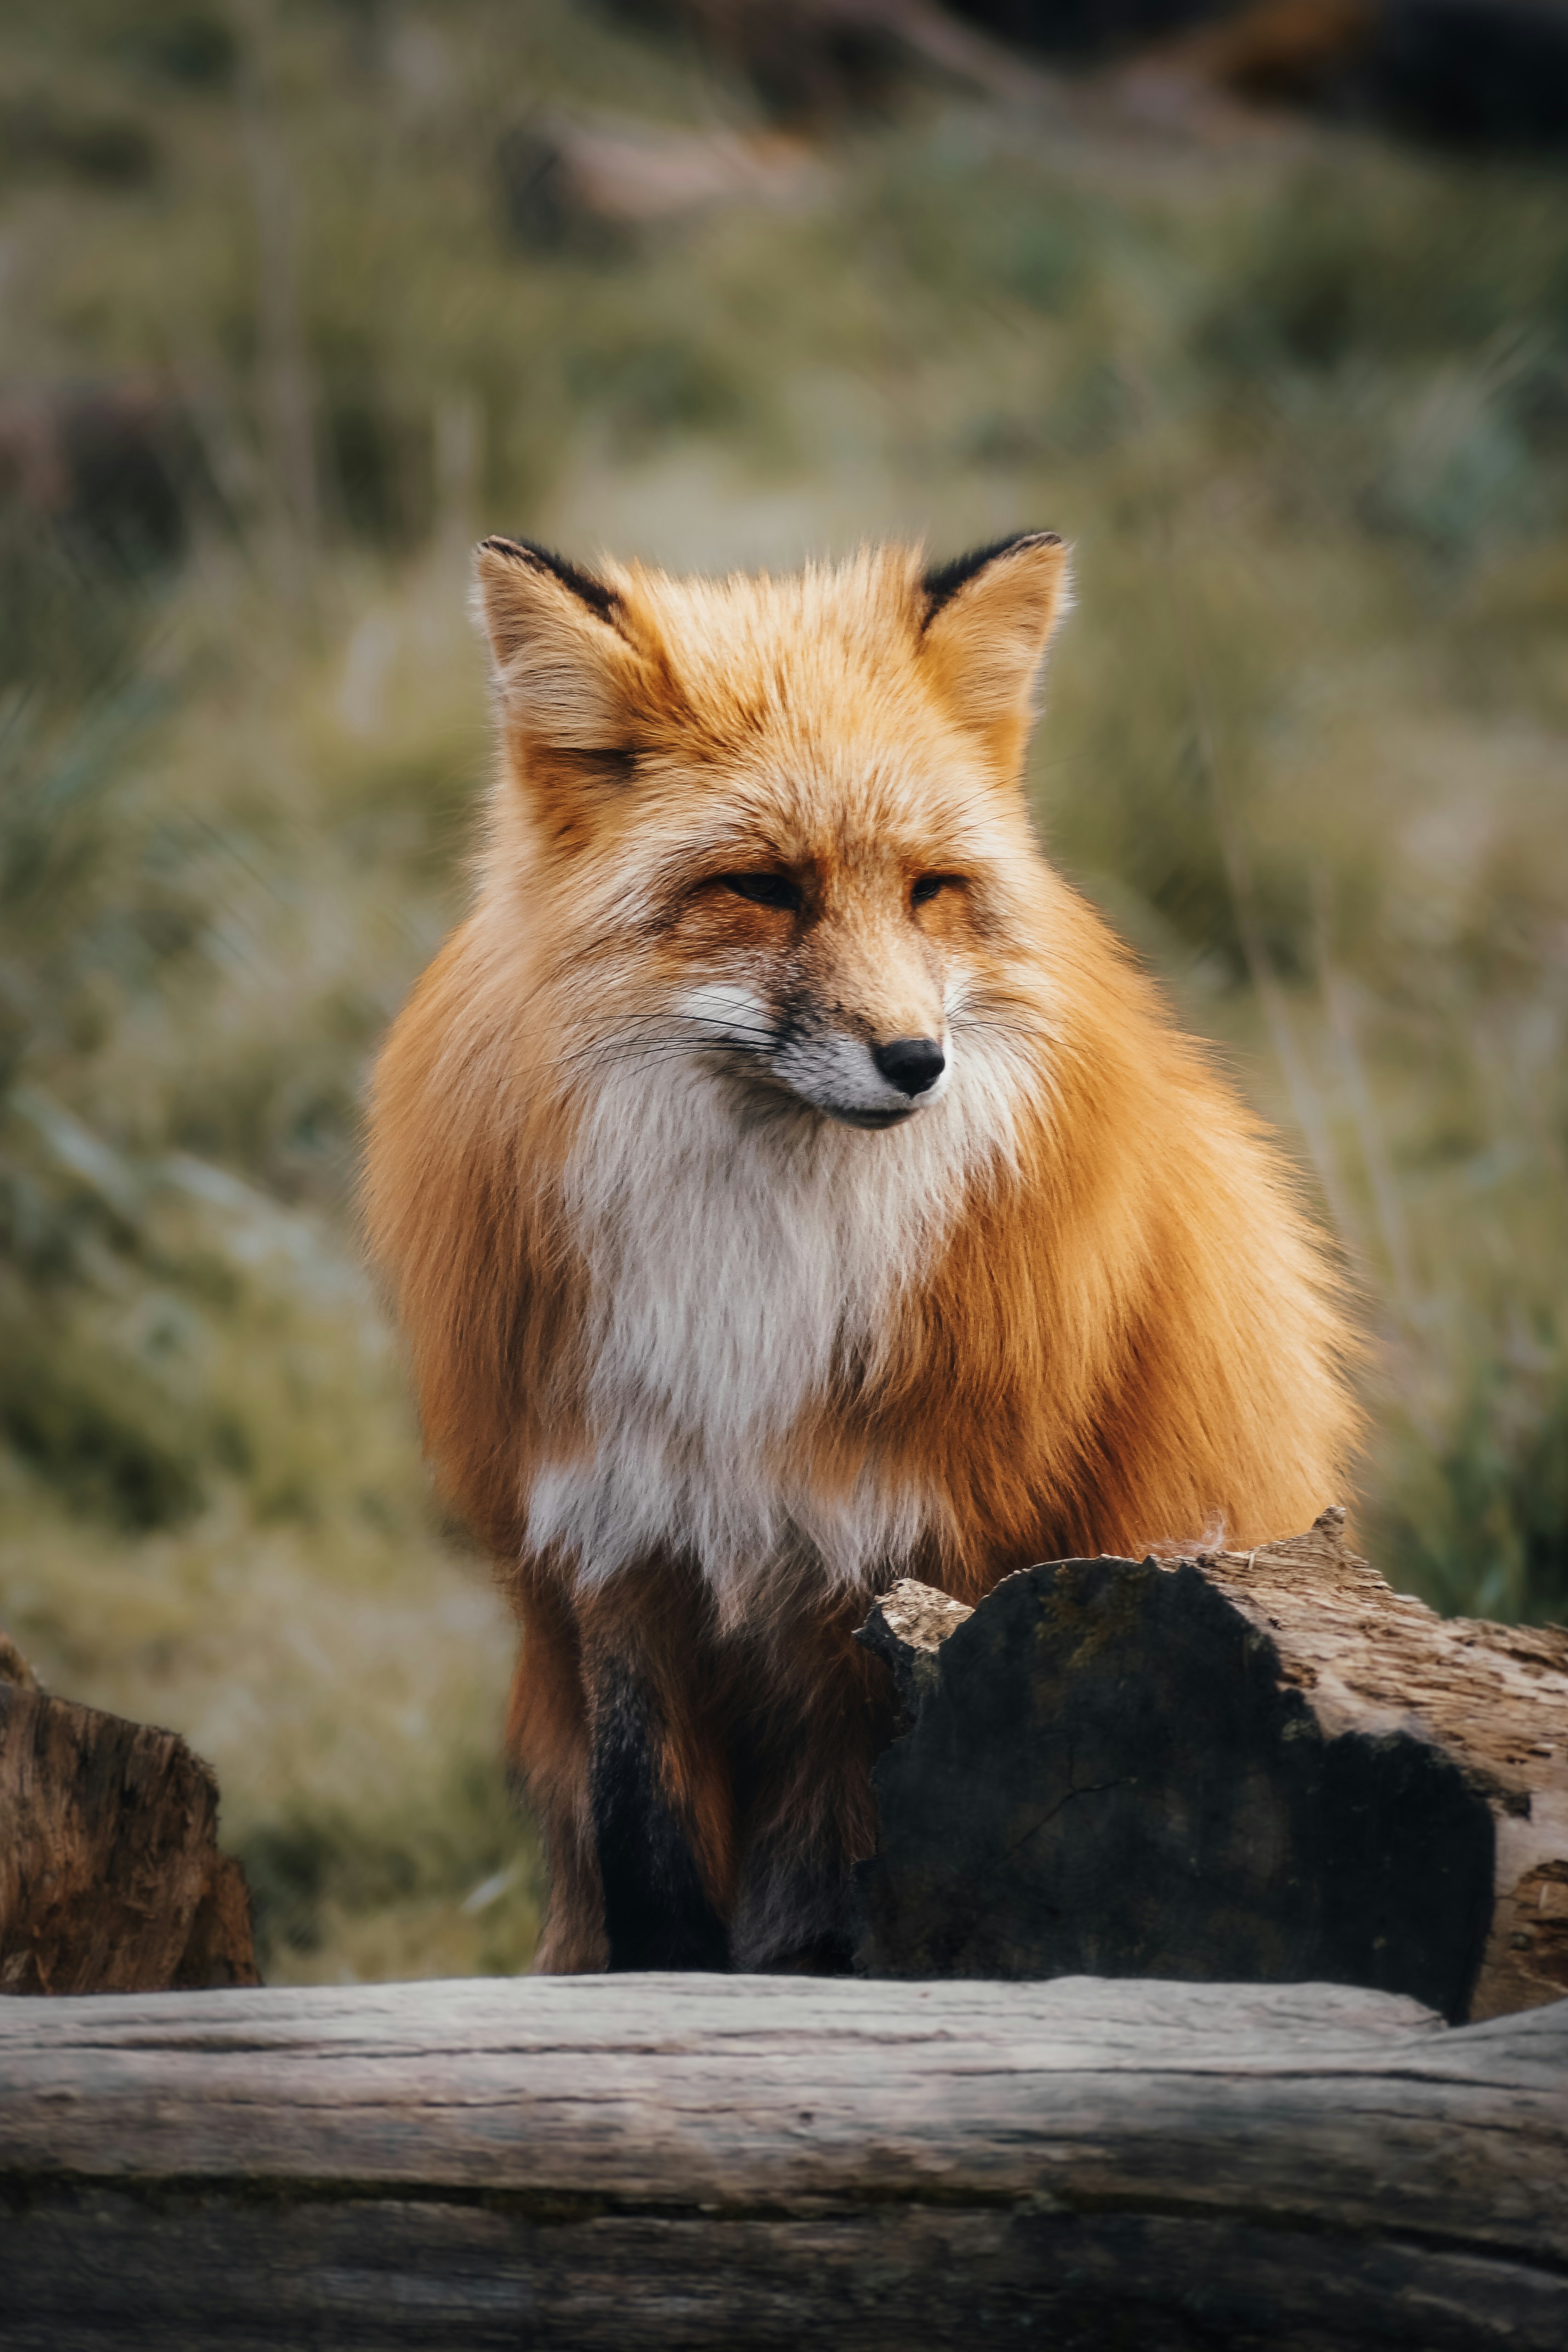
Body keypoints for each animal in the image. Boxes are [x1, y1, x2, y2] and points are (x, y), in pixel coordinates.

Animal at [363, 530, 1359, 1975]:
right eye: (764, 888)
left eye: (931, 890)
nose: (916, 1062)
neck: (751, 1278)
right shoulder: (617, 1534)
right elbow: (650, 1869)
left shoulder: (902, 1568)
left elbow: (856, 1886)